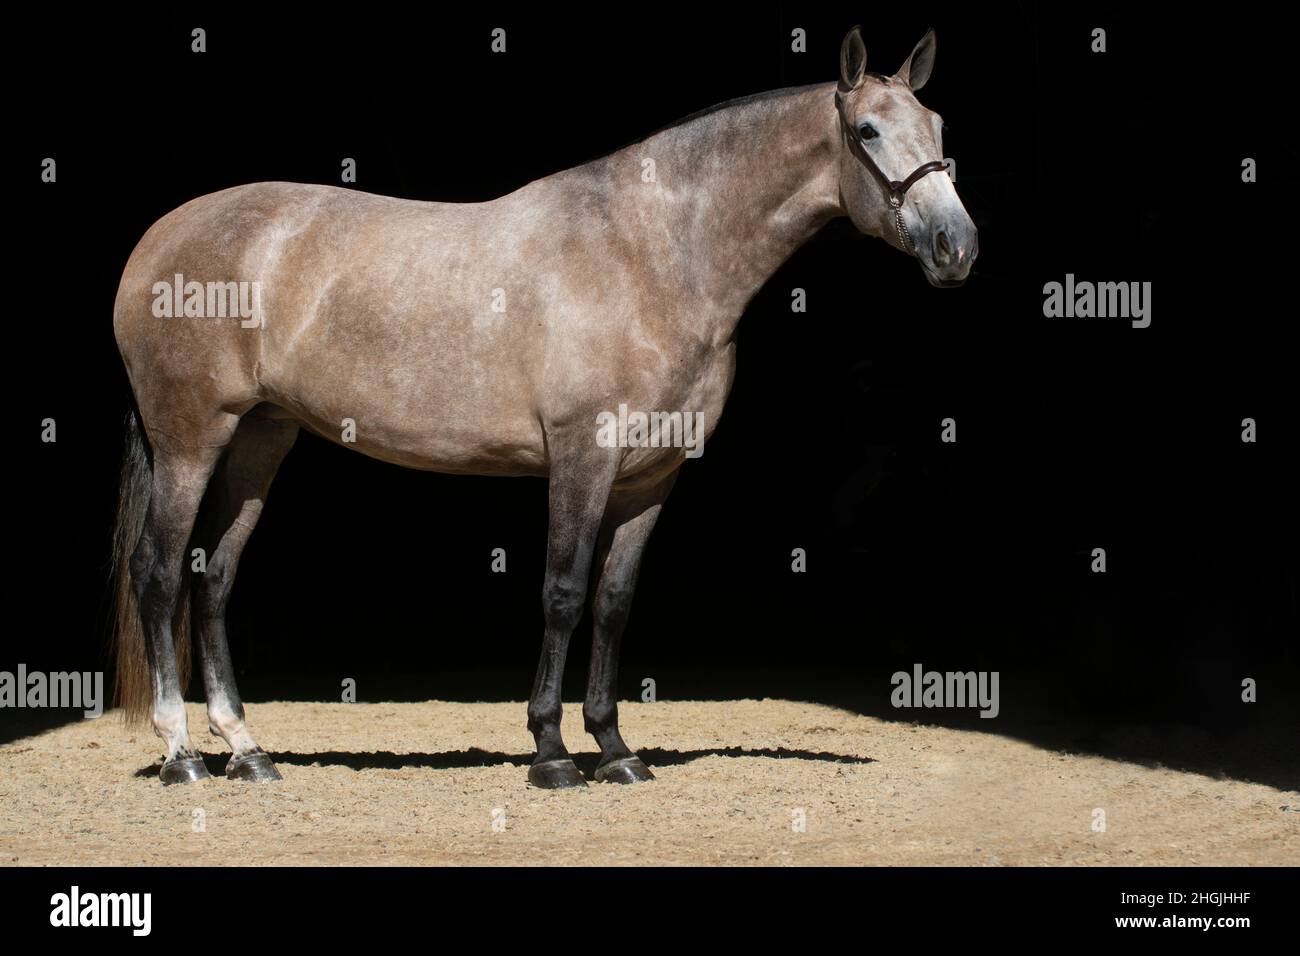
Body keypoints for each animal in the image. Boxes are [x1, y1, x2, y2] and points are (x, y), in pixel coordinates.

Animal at [110, 26, 977, 788]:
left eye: (937, 126)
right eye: (867, 130)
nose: (956, 246)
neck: (651, 254)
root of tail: (158, 237)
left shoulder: (651, 476)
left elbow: (613, 601)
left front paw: (617, 751)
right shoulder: (582, 456)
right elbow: (562, 594)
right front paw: (553, 753)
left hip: (261, 439)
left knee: (213, 579)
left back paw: (246, 750)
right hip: (191, 441)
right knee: (158, 572)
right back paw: (181, 754)